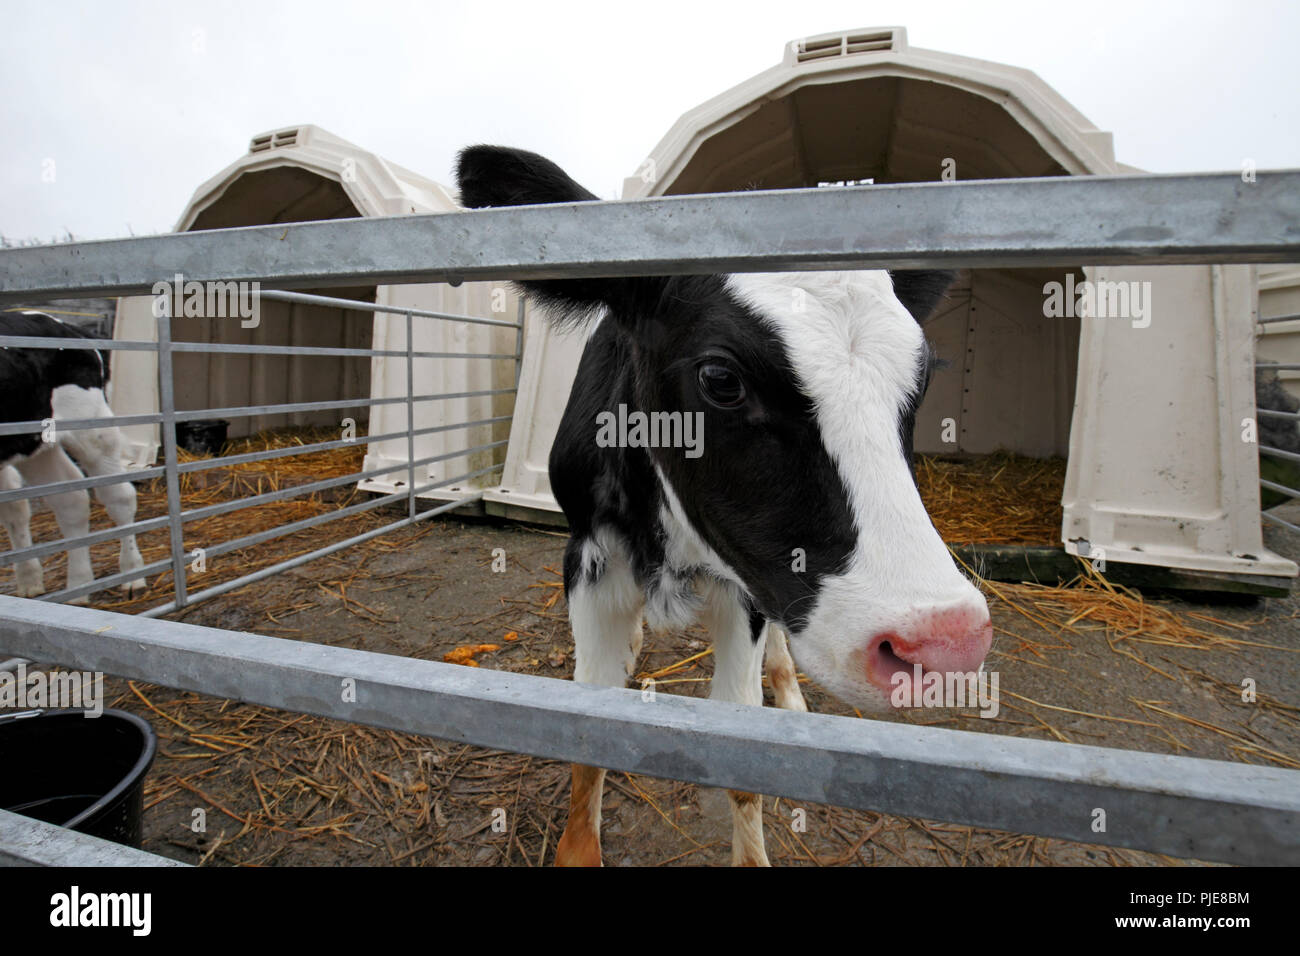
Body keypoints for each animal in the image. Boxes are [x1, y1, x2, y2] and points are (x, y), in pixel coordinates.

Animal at [0, 310, 146, 603]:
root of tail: (68, 326)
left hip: (92, 428)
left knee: (119, 497)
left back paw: (132, 574)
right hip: (34, 445)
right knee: (70, 500)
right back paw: (74, 586)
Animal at [456, 146, 993, 866]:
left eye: (924, 375)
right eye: (720, 378)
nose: (946, 644)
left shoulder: (745, 588)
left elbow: (743, 755)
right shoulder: (587, 554)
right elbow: (587, 729)